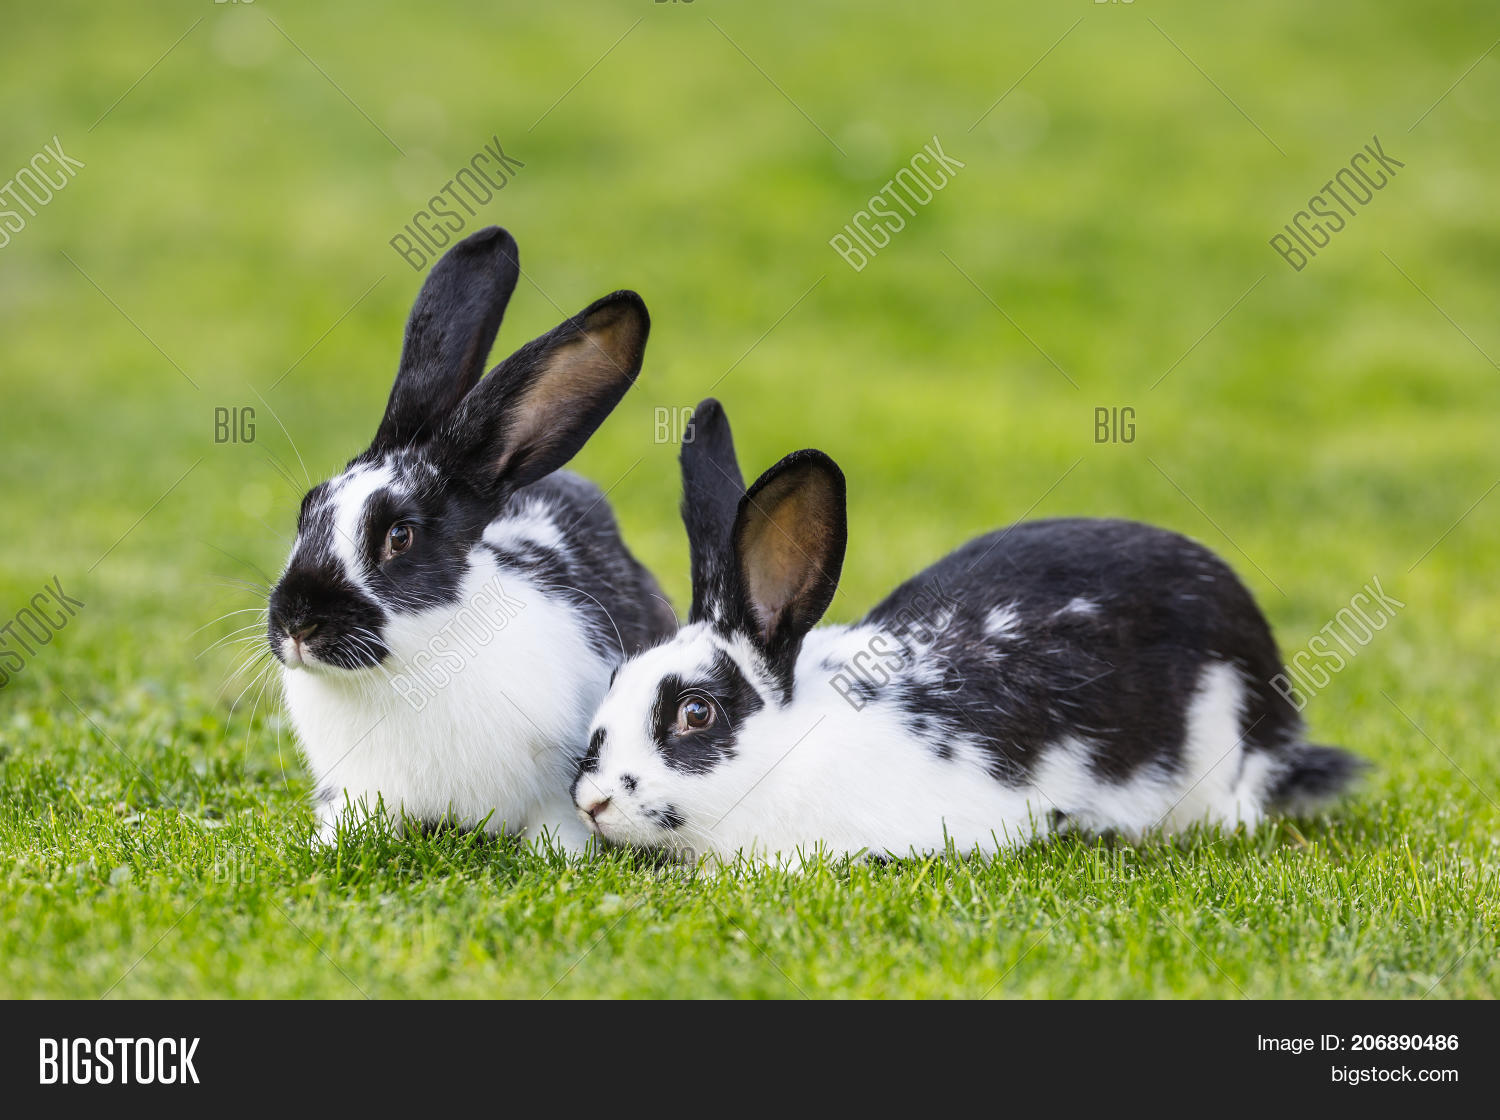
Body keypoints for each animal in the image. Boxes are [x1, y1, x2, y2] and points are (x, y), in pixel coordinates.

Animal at [266, 226, 677, 848]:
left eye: (400, 536)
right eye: (306, 511)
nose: (296, 623)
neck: (410, 667)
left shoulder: (561, 782)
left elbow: (559, 823)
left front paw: (557, 856)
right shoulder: (360, 786)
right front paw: (330, 842)